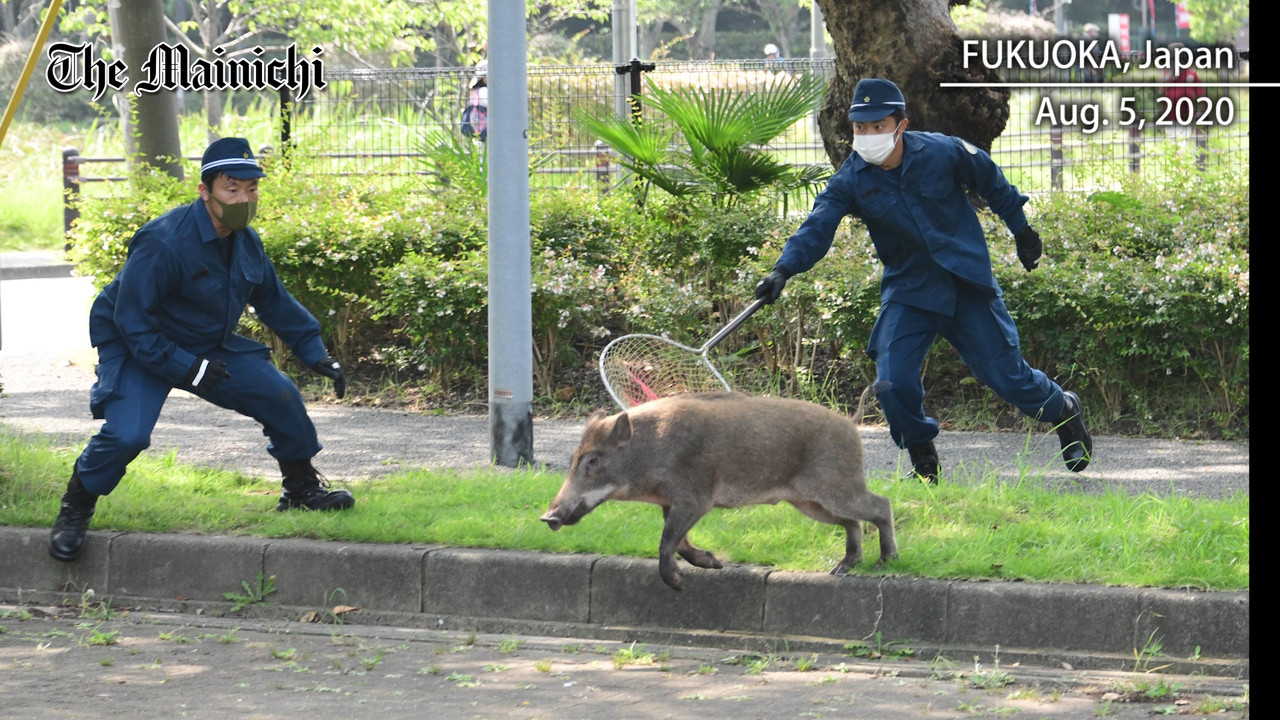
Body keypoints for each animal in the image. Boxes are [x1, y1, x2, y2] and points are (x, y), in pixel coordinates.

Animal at [540, 388, 897, 590]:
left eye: (593, 461)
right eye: (573, 459)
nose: (548, 517)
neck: (649, 453)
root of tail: (851, 423)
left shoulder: (696, 499)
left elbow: (667, 541)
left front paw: (679, 585)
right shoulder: (670, 503)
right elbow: (679, 542)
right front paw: (714, 564)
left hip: (835, 486)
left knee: (881, 505)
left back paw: (885, 562)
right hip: (810, 502)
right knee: (853, 522)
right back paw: (842, 568)